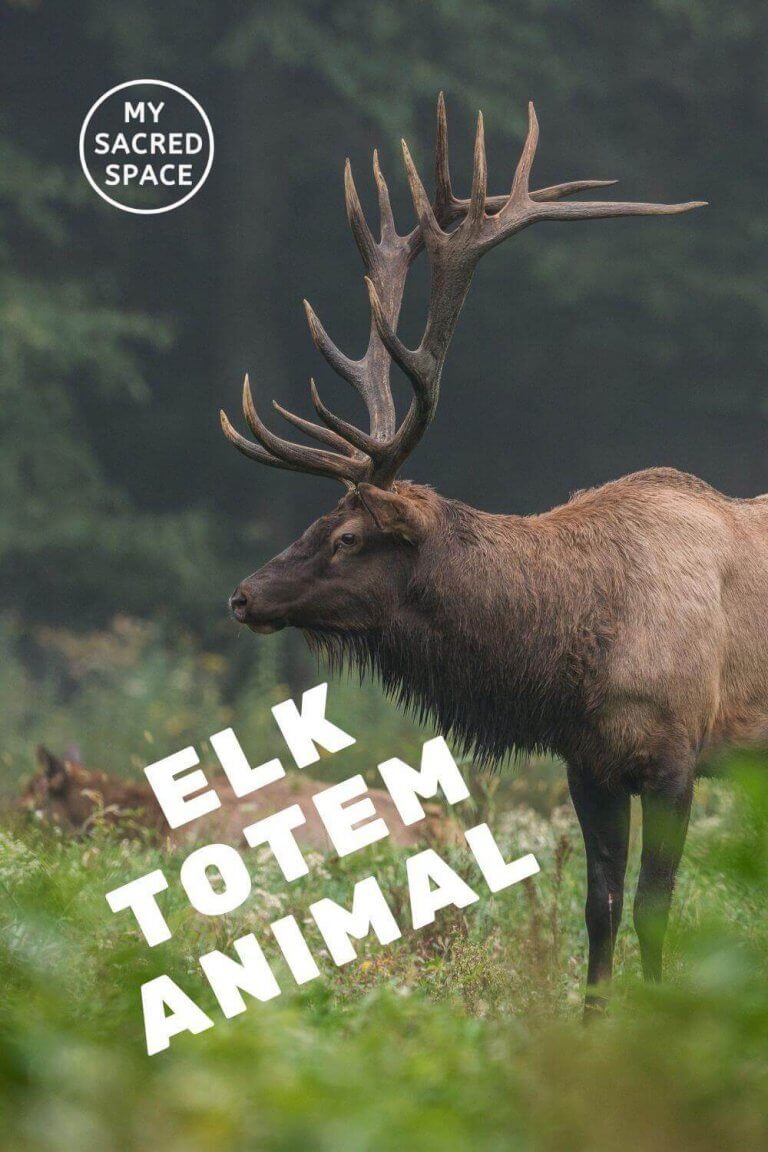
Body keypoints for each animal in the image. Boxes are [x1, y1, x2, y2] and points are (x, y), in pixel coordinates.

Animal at [216, 94, 759, 1017]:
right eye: (324, 520)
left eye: (349, 536)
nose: (246, 596)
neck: (572, 650)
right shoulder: (588, 763)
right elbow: (599, 904)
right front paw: (592, 1019)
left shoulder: (677, 753)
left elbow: (654, 907)